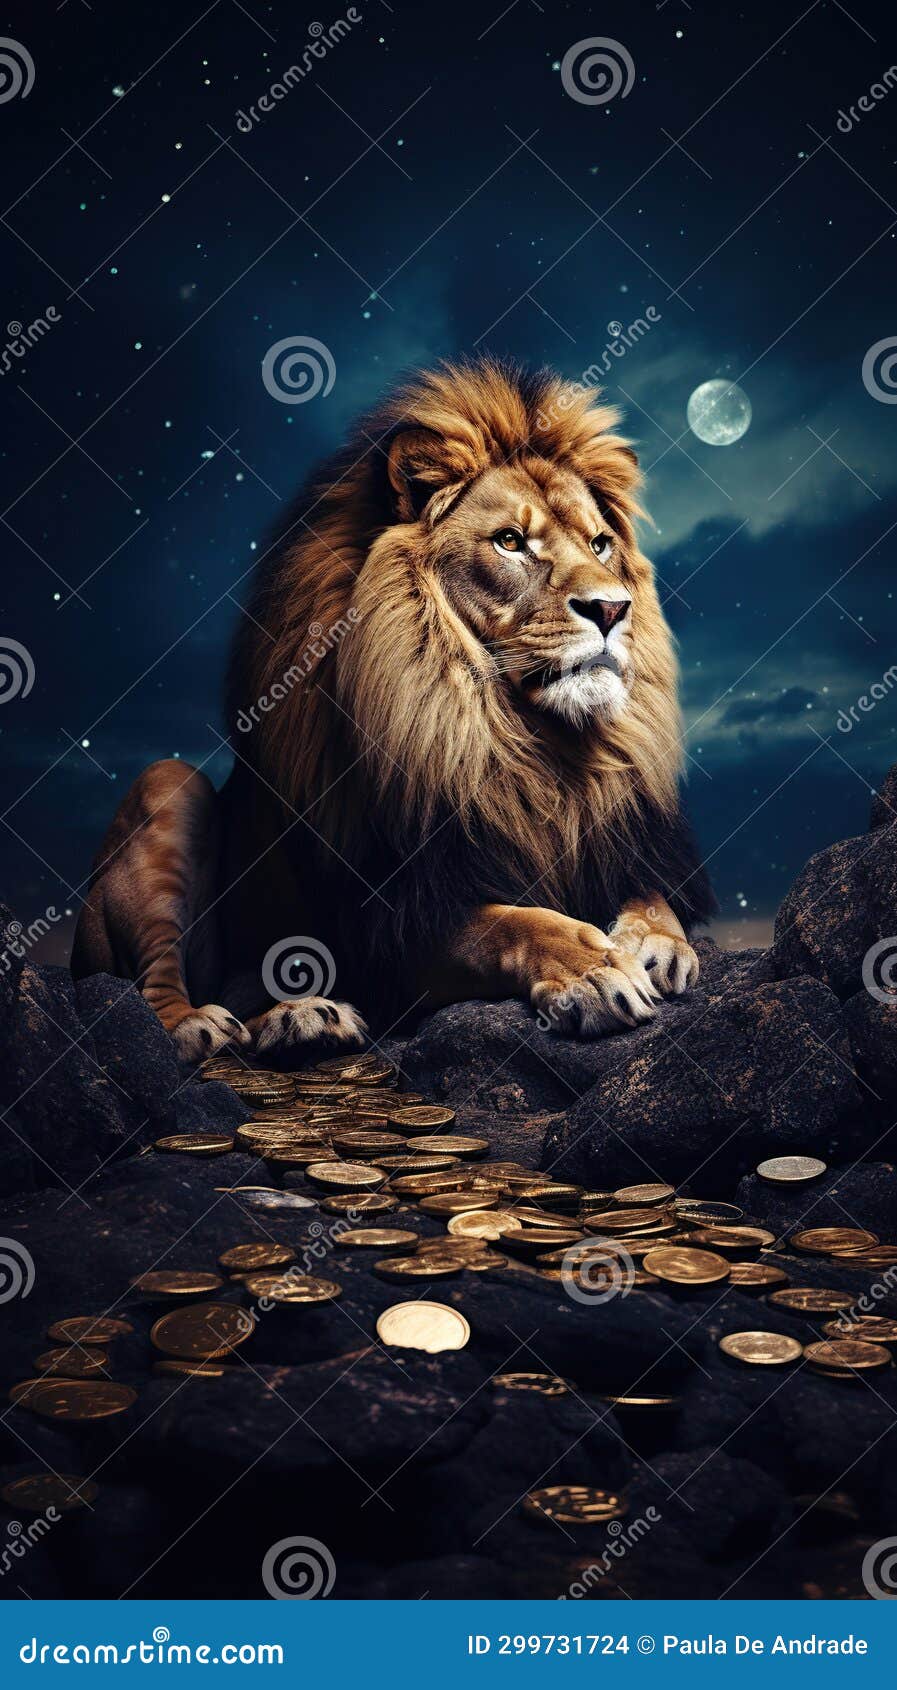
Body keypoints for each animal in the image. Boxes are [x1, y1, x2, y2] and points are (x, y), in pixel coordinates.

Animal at [72, 359, 714, 1061]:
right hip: (167, 782)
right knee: (154, 983)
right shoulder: (394, 923)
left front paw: (658, 945)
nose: (612, 608)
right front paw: (593, 972)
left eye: (599, 544)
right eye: (510, 542)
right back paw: (210, 1025)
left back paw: (304, 1022)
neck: (522, 745)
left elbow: (652, 898)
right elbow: (513, 926)